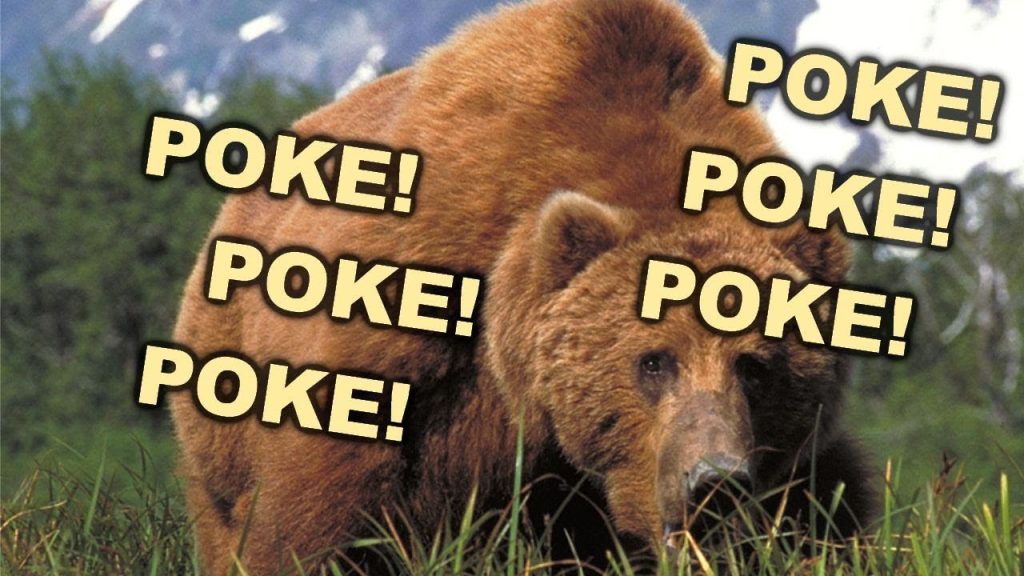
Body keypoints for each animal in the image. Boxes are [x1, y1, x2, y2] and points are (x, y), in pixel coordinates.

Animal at [168, 0, 876, 573]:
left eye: (756, 366)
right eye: (654, 360)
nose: (714, 482)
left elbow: (831, 505)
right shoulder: (419, 322)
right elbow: (323, 505)